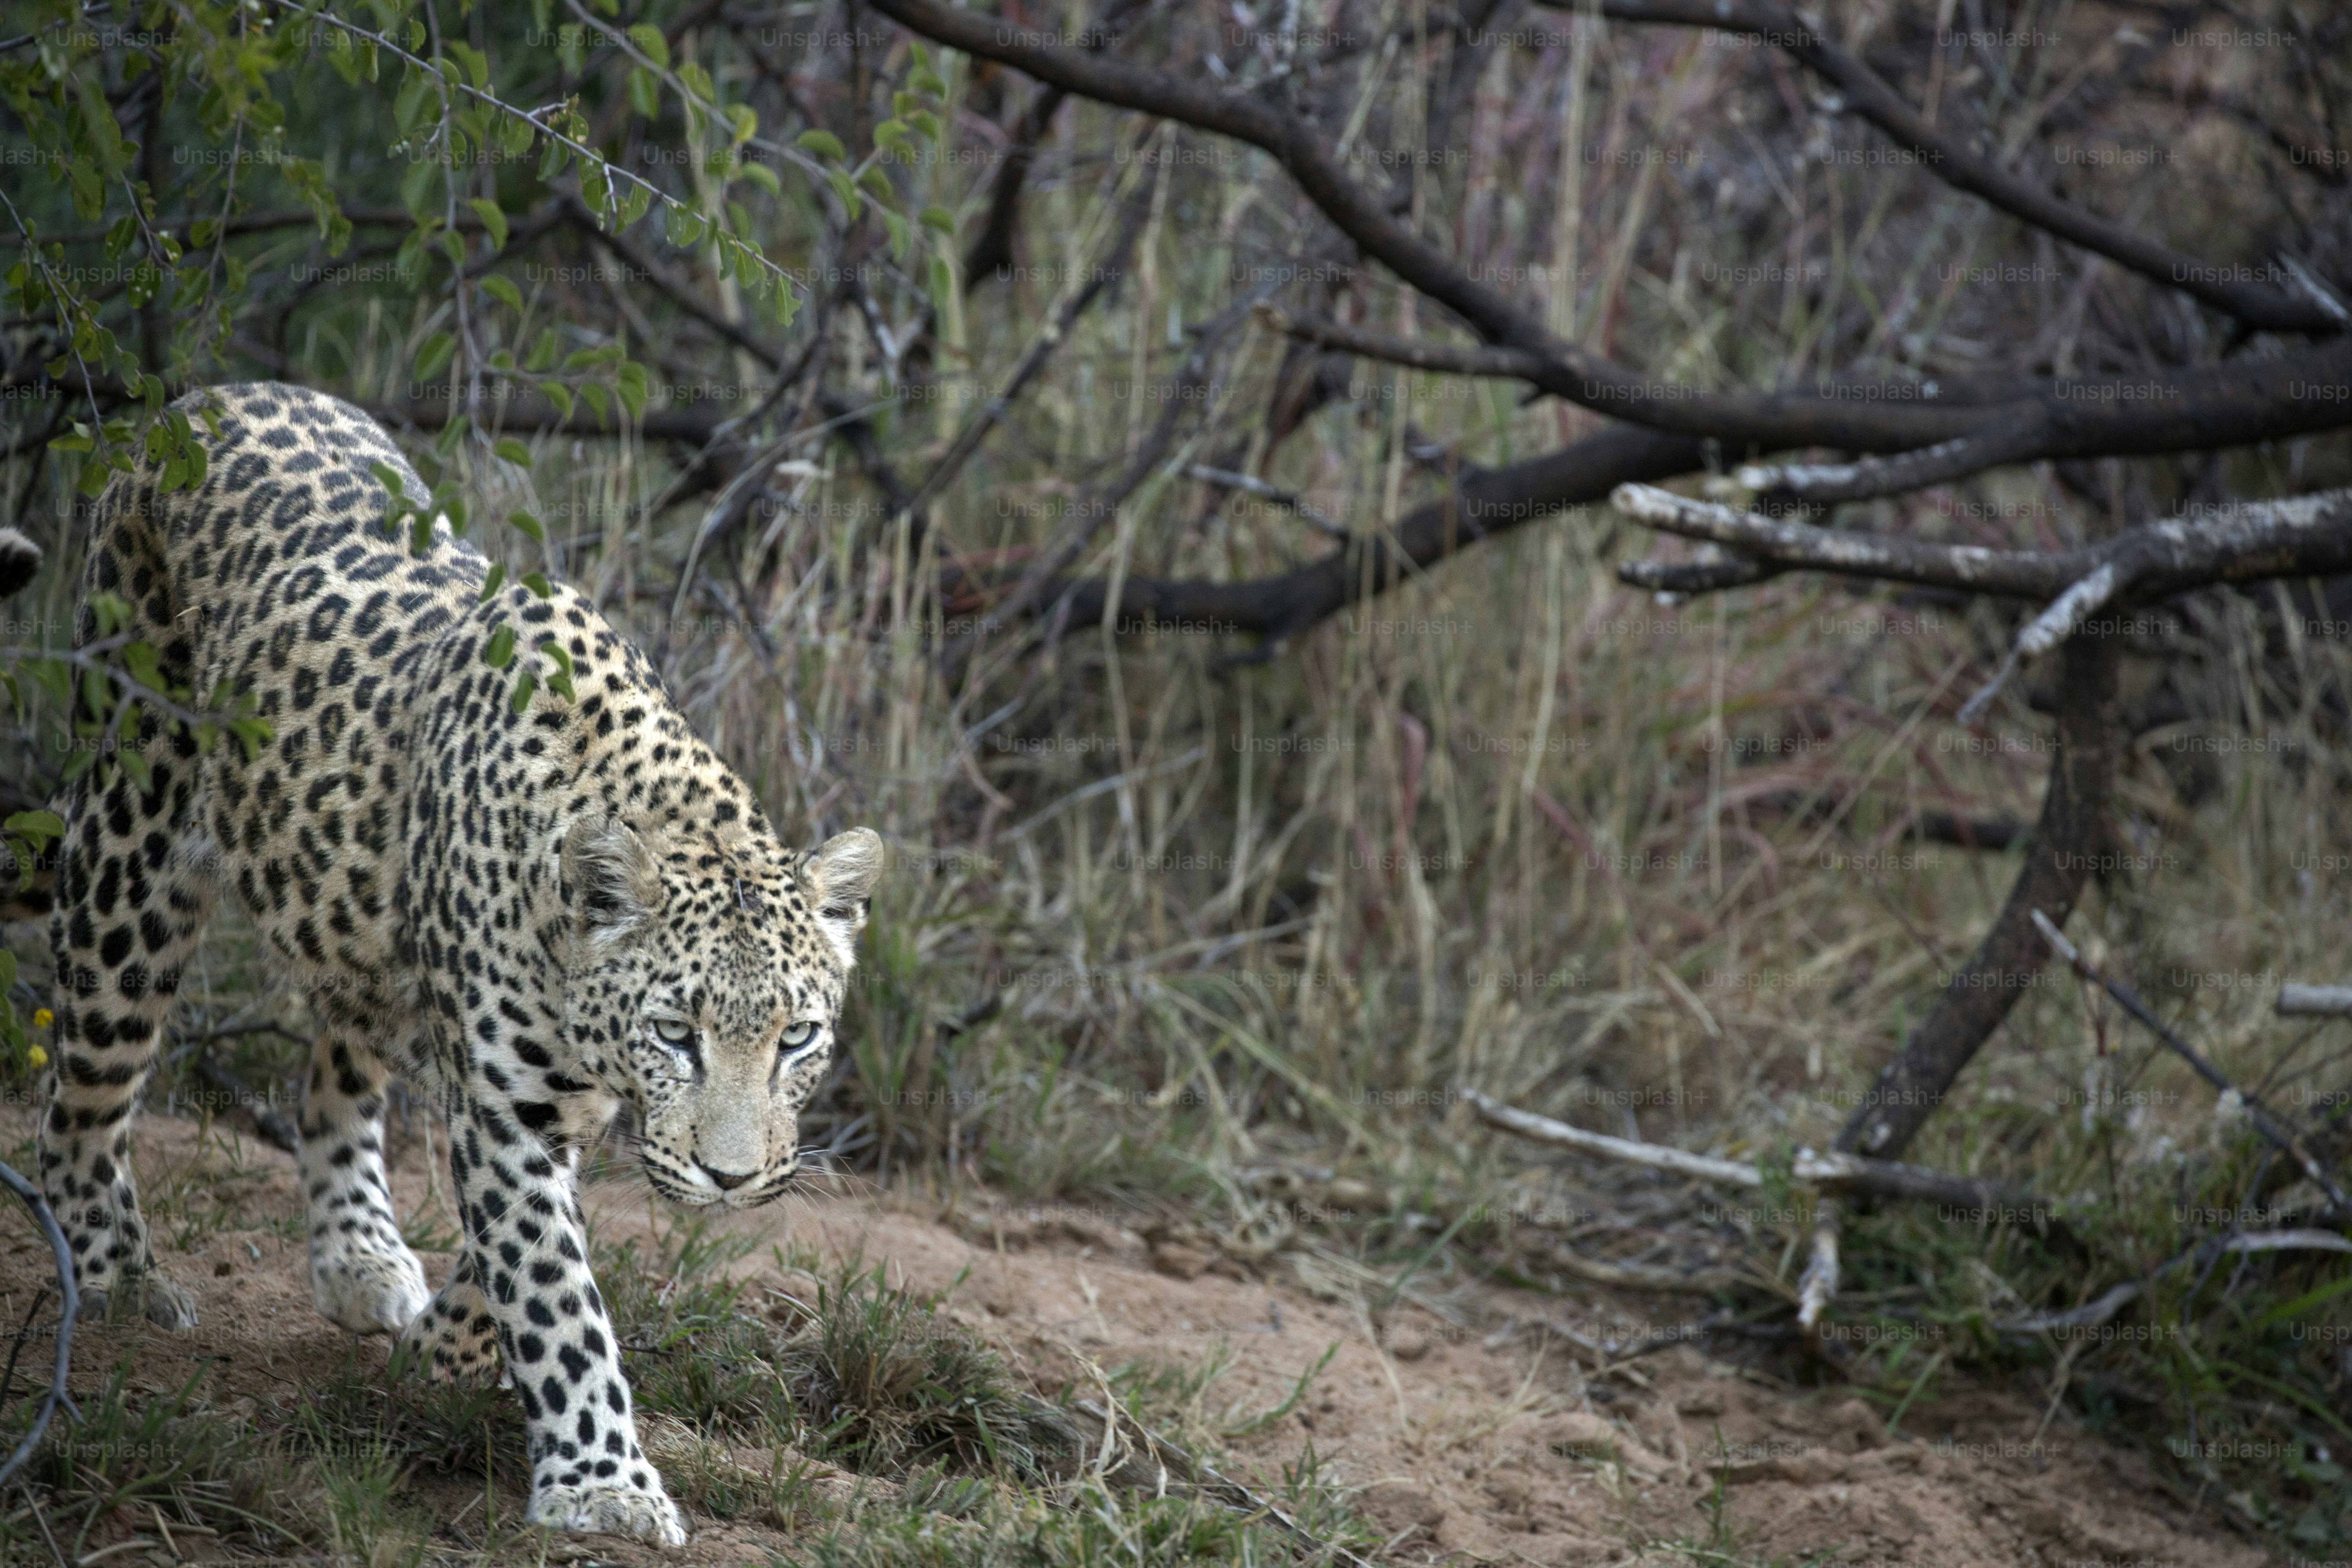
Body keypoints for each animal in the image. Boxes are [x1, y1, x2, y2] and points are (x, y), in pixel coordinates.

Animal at [1, 381, 882, 1546]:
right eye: (675, 1035)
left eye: (797, 1038)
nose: (731, 1180)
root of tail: (207, 396)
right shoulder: (511, 1107)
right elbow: (555, 1291)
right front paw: (603, 1483)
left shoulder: (555, 1106)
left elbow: (506, 1264)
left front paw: (436, 1354)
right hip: (130, 843)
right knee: (84, 1095)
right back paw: (112, 1277)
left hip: (350, 924)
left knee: (333, 1069)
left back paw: (358, 1257)